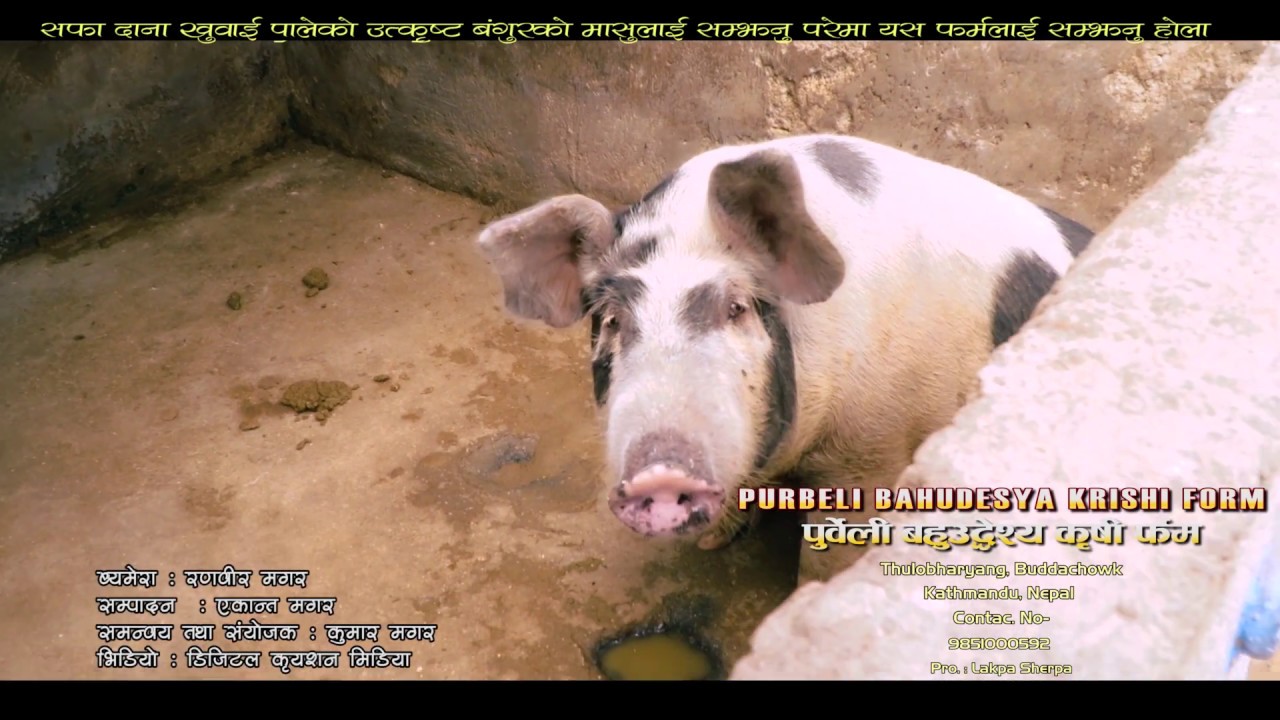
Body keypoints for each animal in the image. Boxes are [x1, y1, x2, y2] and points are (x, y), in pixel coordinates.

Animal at [475, 133, 1094, 581]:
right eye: (612, 321)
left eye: (737, 309)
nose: (660, 472)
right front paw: (712, 542)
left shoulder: (873, 454)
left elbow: (827, 557)